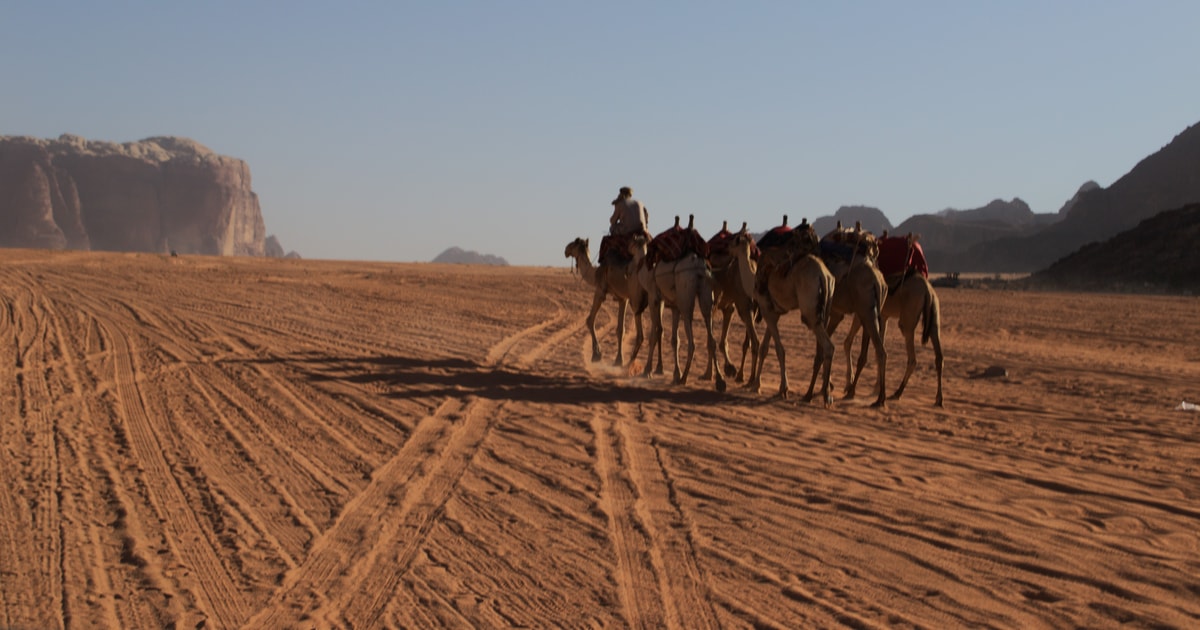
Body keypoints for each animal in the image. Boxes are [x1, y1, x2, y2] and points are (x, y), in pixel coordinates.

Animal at [564, 237, 647, 368]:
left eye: (574, 243)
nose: (566, 250)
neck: (595, 274)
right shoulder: (623, 298)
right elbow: (620, 329)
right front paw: (618, 360)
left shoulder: (600, 290)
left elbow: (590, 320)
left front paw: (596, 355)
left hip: (636, 299)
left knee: (641, 334)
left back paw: (631, 364)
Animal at [629, 217, 727, 392]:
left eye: (632, 242)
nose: (628, 250)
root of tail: (699, 267)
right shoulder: (673, 306)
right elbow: (675, 339)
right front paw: (674, 373)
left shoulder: (654, 297)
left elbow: (655, 333)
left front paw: (648, 371)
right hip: (705, 293)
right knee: (710, 334)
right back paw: (720, 381)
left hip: (685, 294)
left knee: (692, 339)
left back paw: (685, 378)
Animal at [704, 221, 760, 383]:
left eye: (733, 240)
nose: (728, 247)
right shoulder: (733, 307)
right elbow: (721, 341)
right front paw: (727, 371)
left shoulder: (735, 307)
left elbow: (715, 341)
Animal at [732, 227, 836, 405]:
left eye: (734, 240)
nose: (727, 249)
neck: (754, 279)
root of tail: (824, 276)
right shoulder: (773, 313)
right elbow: (765, 348)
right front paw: (756, 385)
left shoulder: (767, 310)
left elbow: (780, 350)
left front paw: (783, 389)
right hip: (826, 309)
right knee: (823, 350)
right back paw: (815, 393)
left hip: (810, 312)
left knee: (828, 346)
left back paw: (826, 396)